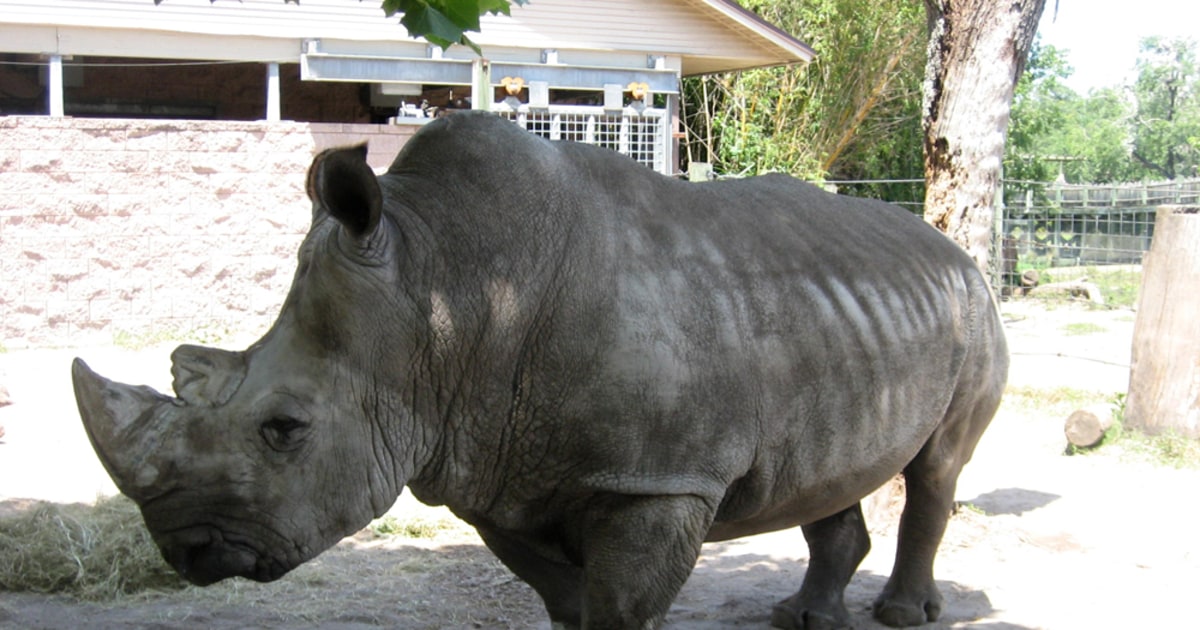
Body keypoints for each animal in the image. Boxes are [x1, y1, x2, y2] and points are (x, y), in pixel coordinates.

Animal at [73, 111, 1007, 629]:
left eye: (284, 429)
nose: (189, 551)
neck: (440, 282)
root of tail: (951, 250)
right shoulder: (495, 464)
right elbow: (565, 600)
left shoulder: (659, 478)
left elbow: (621, 608)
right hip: (854, 317)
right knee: (834, 468)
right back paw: (803, 620)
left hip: (972, 303)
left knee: (937, 467)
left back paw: (902, 615)